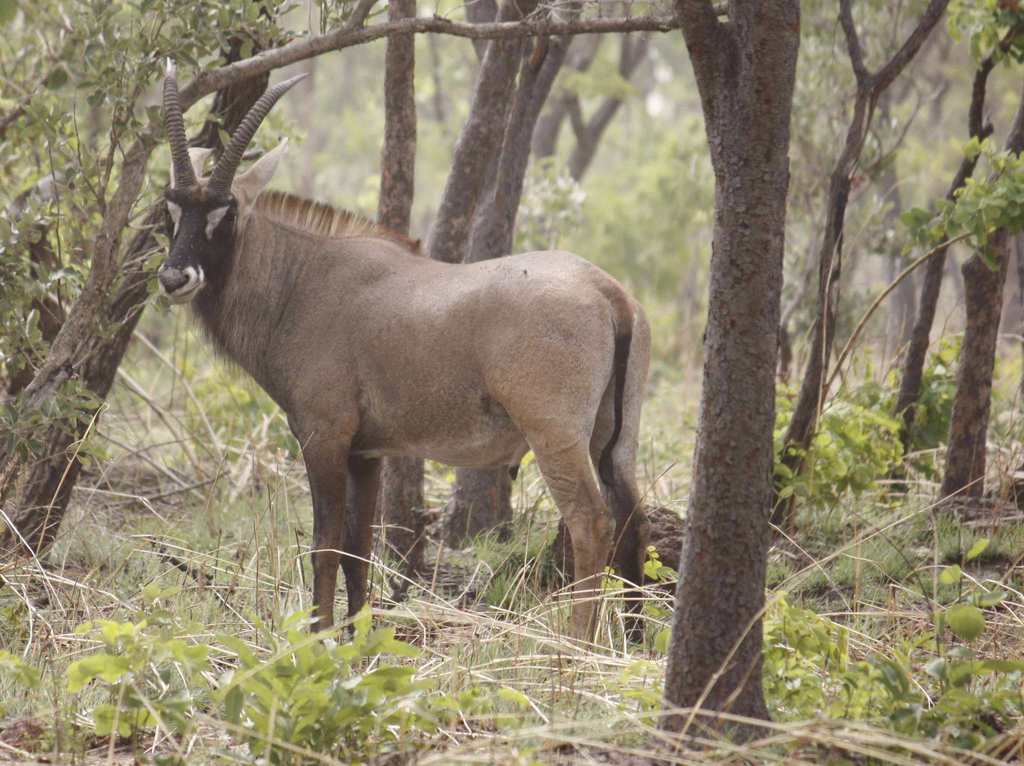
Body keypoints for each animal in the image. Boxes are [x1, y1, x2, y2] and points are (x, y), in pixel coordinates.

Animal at [157, 64, 650, 639]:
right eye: (171, 207)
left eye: (227, 212)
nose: (175, 277)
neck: (299, 280)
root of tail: (608, 292)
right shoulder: (367, 452)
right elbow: (357, 551)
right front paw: (356, 639)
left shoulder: (323, 437)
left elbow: (325, 547)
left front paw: (318, 638)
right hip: (613, 440)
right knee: (632, 521)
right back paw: (630, 643)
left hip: (556, 436)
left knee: (591, 523)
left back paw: (572, 648)